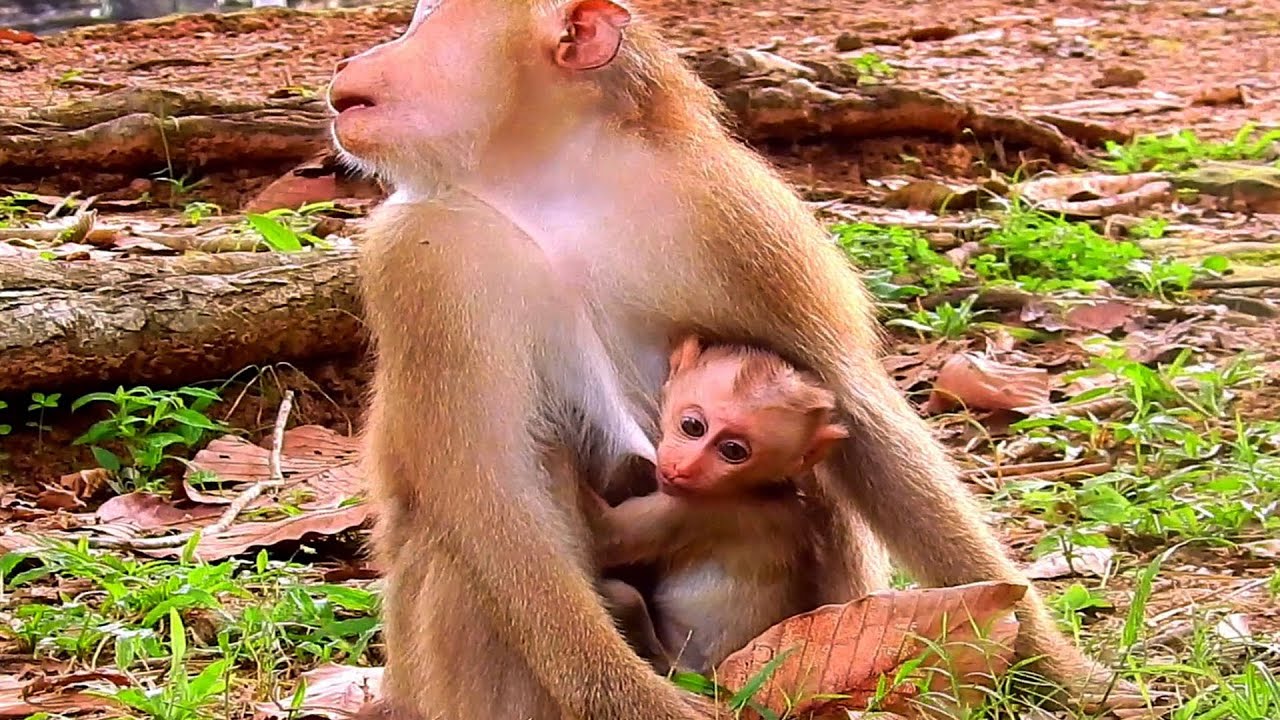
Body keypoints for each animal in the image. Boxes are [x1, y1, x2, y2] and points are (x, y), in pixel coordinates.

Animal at [583, 335, 852, 675]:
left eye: (733, 451)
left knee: (625, 596)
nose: (684, 467)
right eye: (692, 426)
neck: (754, 488)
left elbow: (609, 536)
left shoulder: (700, 510)